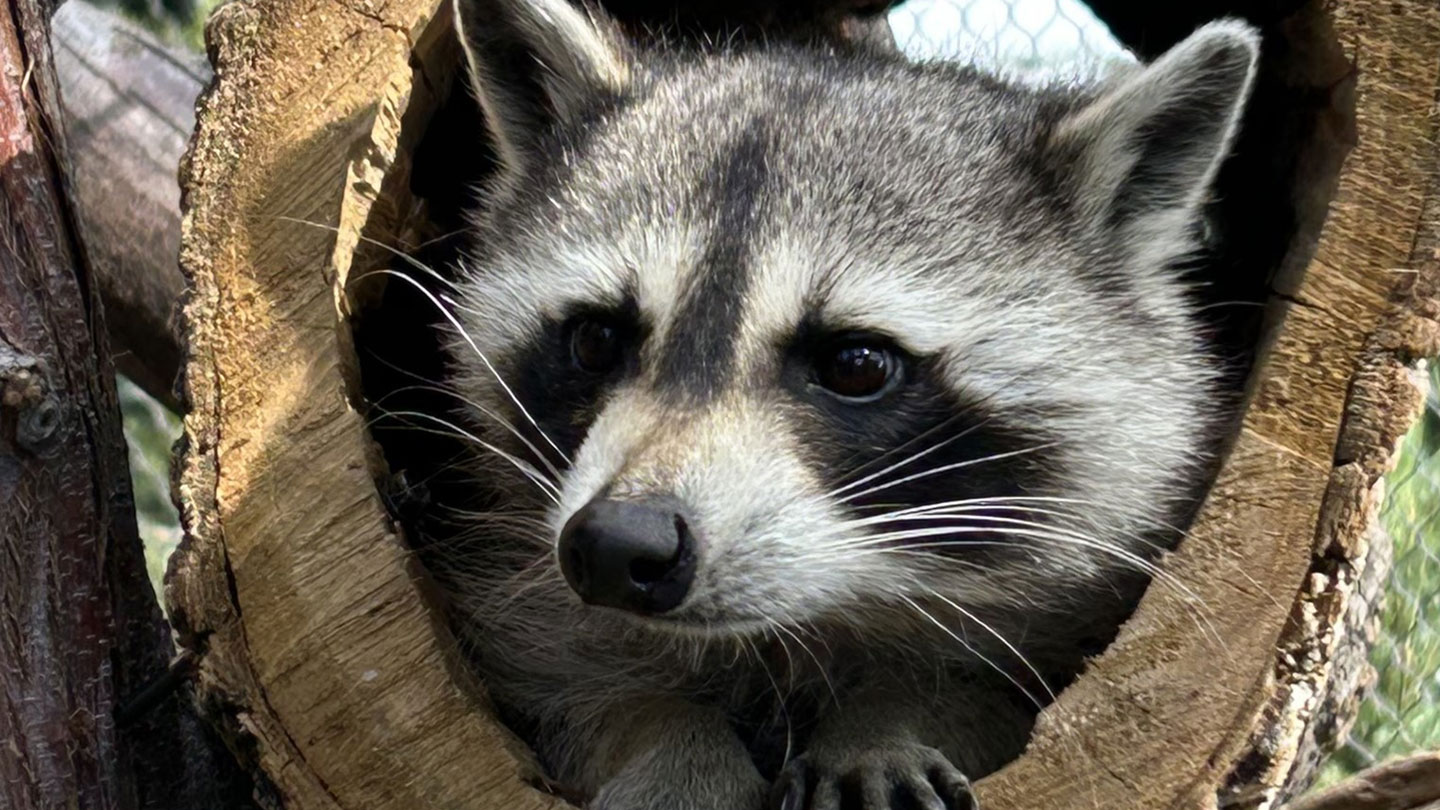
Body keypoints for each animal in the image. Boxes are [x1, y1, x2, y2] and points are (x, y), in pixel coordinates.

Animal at [427, 1, 1259, 808]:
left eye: (856, 365)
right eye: (597, 340)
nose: (614, 544)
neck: (807, 622)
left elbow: (986, 694)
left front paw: (886, 720)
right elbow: (576, 690)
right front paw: (667, 742)